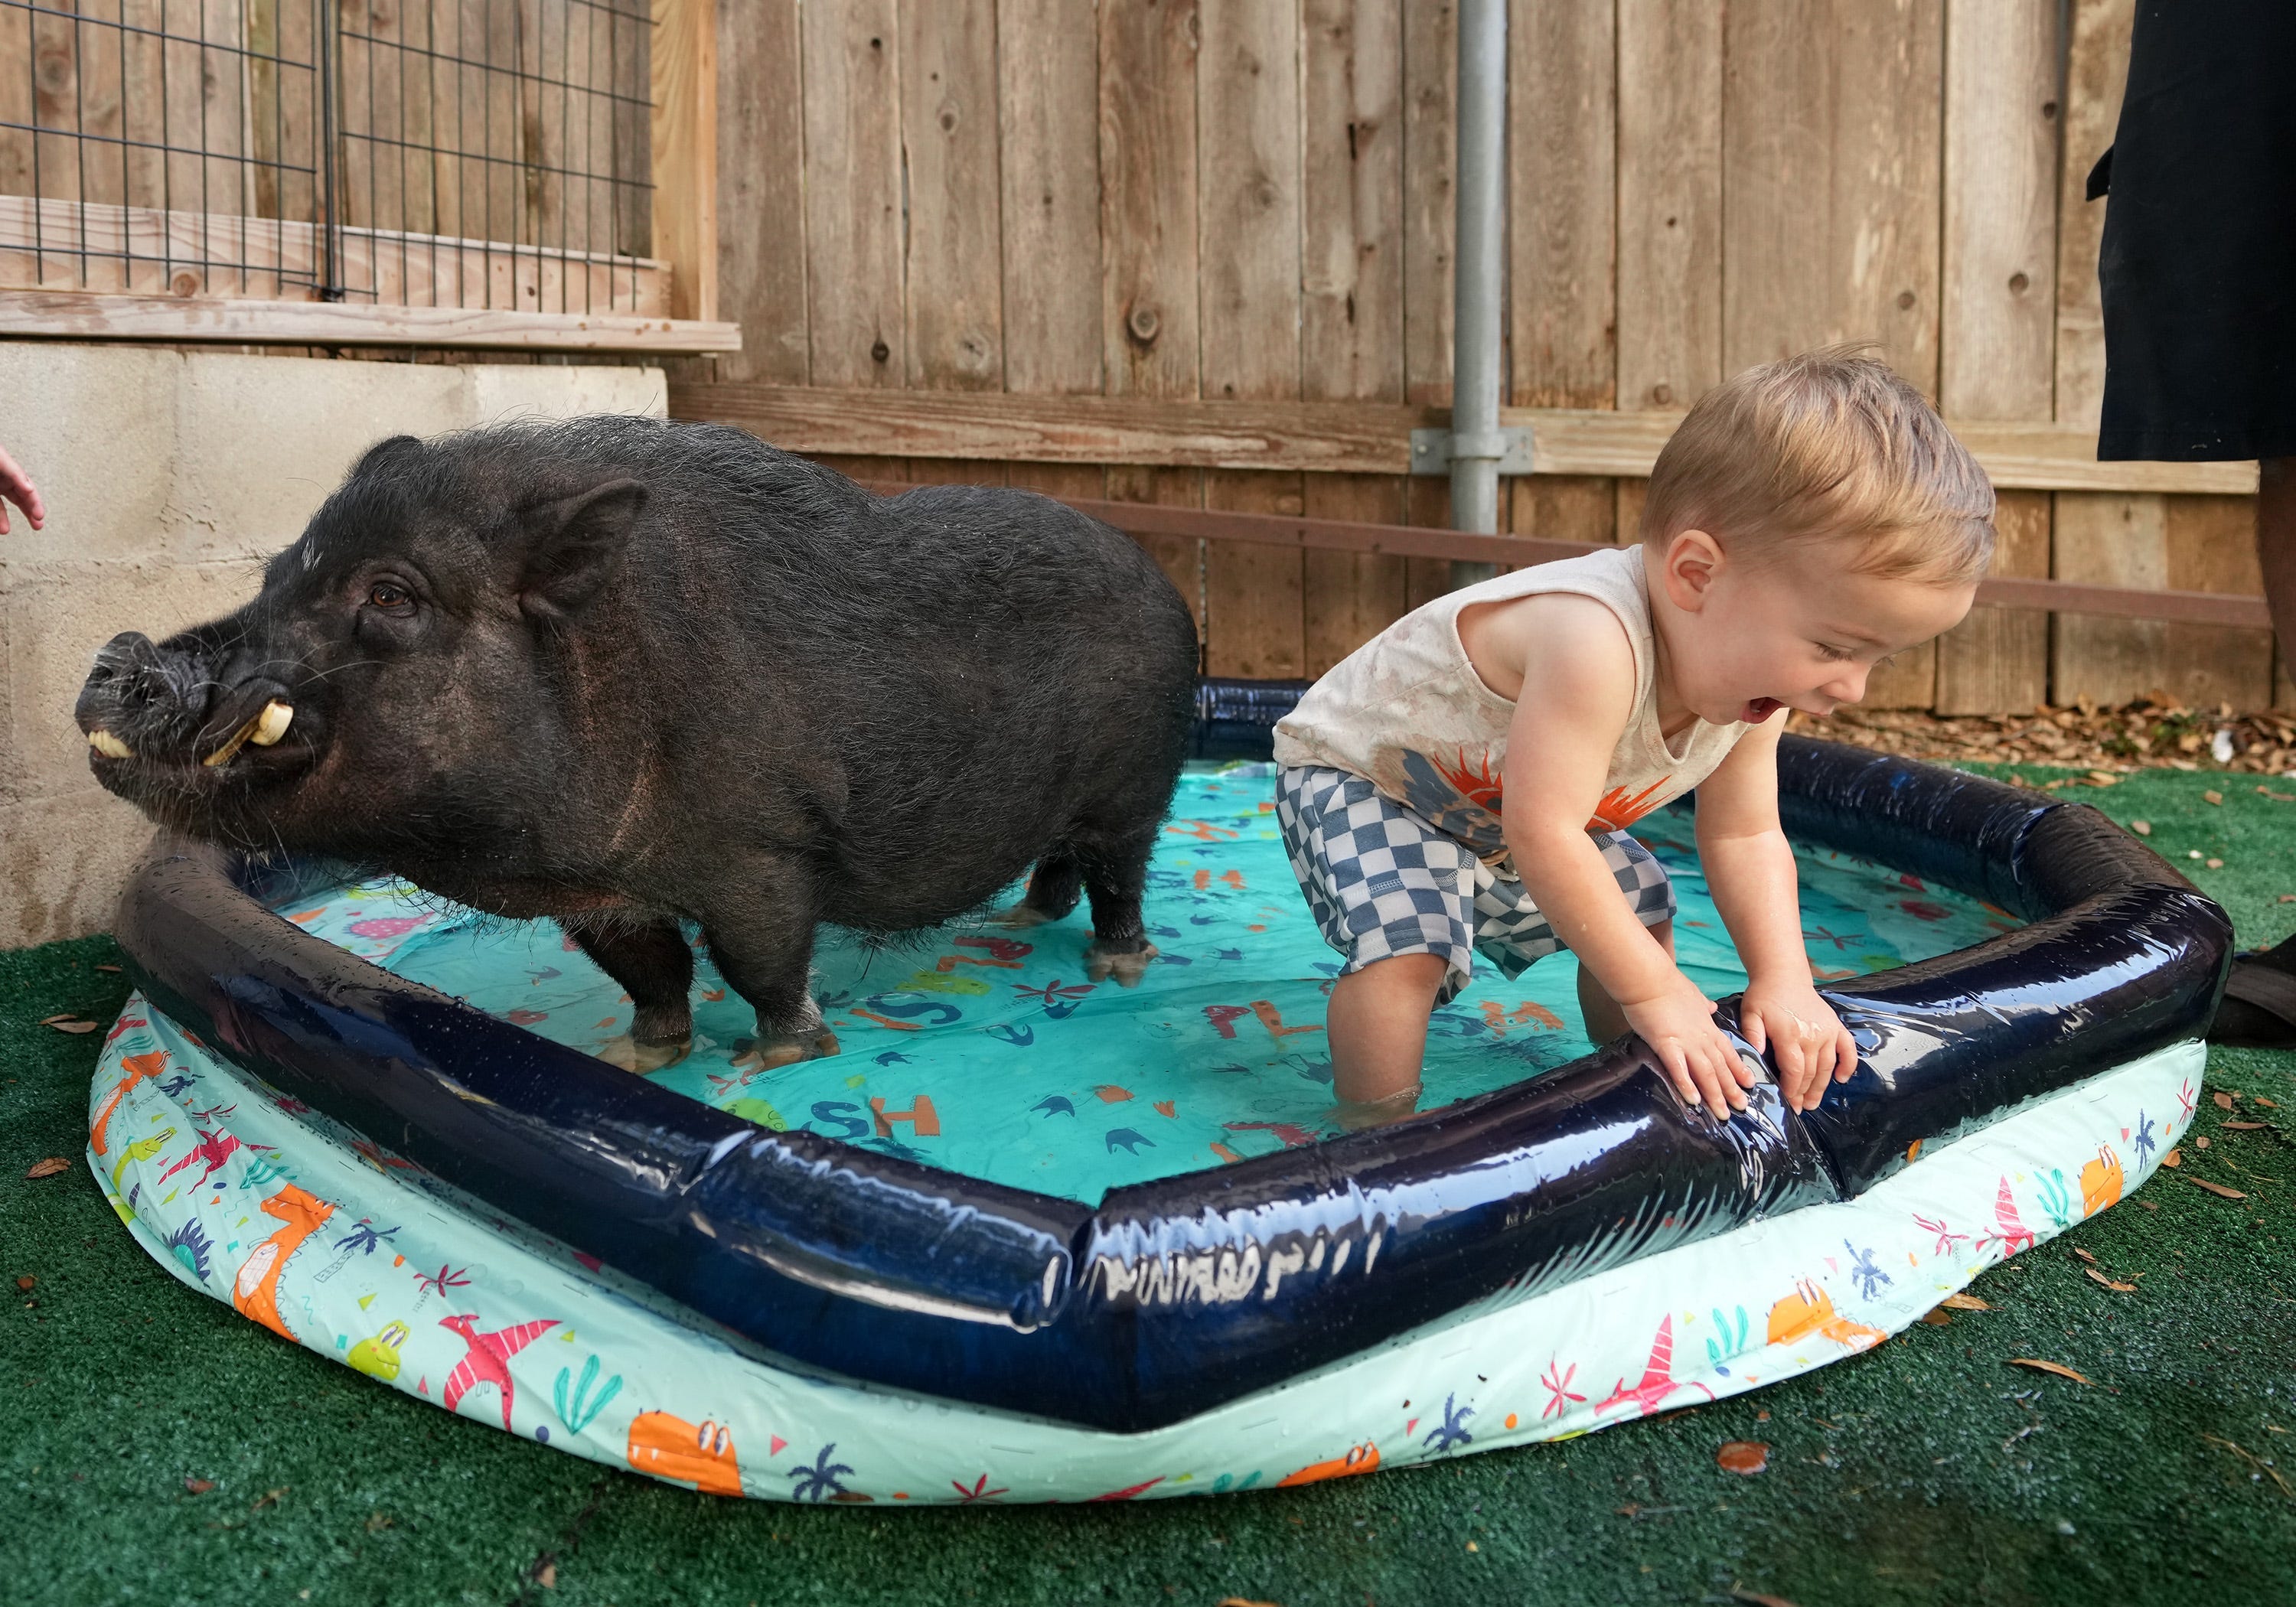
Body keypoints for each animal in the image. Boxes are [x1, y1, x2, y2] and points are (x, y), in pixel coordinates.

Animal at [76, 417, 1200, 1073]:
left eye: (391, 596)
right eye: (276, 574)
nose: (120, 658)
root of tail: (1166, 582)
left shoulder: (762, 851)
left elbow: (759, 963)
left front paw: (777, 1060)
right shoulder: (603, 893)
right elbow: (650, 971)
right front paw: (636, 1059)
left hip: (1139, 783)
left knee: (1121, 876)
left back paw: (1118, 968)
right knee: (1058, 866)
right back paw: (1021, 918)